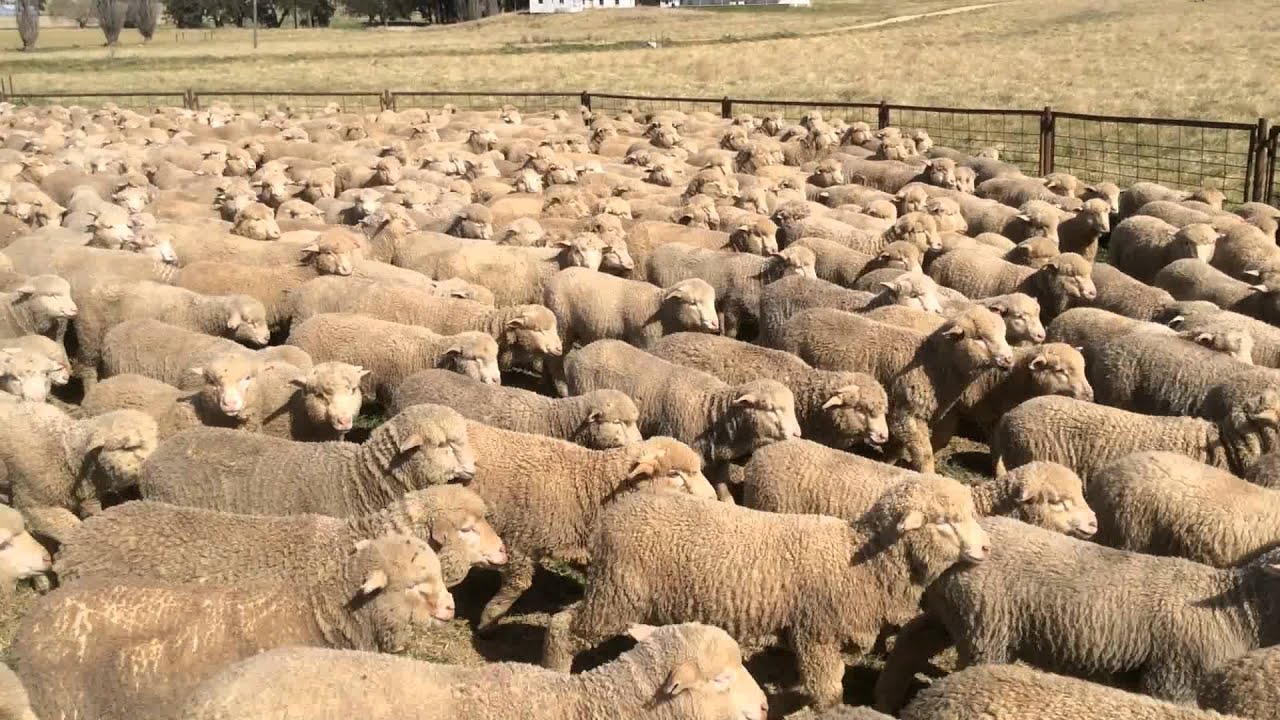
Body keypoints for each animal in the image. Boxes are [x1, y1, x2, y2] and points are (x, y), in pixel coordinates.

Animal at [465, 425, 716, 628]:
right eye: (675, 474)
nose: (714, 498)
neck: (588, 487)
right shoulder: (520, 540)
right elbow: (516, 585)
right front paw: (488, 622)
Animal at [541, 475, 990, 709]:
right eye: (944, 522)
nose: (985, 549)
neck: (859, 560)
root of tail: (614, 514)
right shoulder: (816, 633)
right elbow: (829, 688)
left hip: (619, 594)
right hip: (616, 595)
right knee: (562, 628)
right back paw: (554, 673)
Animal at [875, 517, 1280, 711]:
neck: (1238, 611)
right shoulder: (1174, 676)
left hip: (952, 611)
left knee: (911, 642)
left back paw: (886, 699)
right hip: (985, 622)